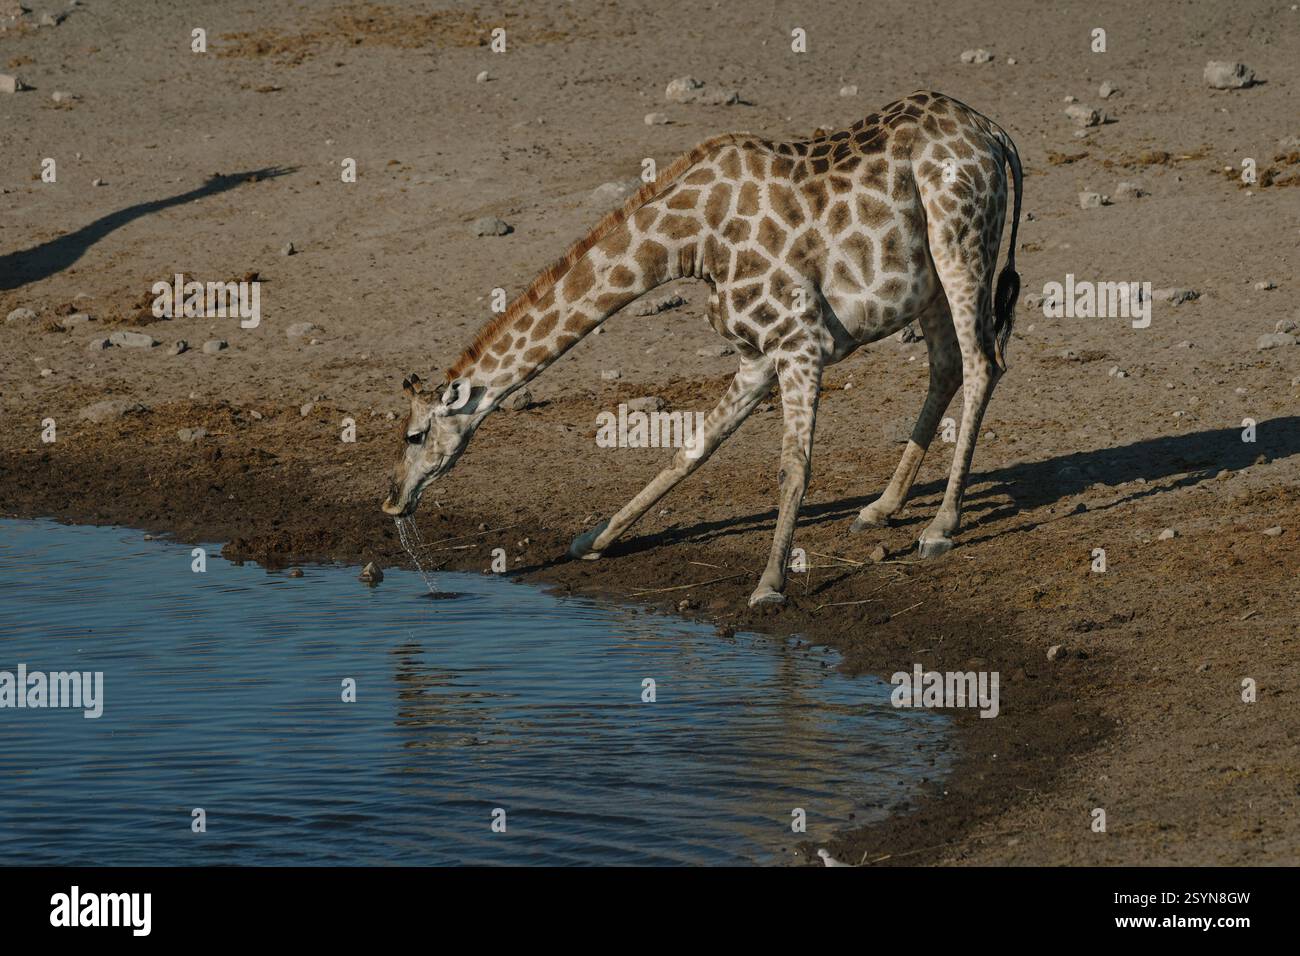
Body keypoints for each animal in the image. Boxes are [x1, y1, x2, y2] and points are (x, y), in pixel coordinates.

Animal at [382, 91, 1023, 607]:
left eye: (413, 436)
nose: (392, 501)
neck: (686, 244)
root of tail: (994, 132)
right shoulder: (757, 355)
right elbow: (691, 449)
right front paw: (593, 539)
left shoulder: (799, 340)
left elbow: (793, 466)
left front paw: (768, 585)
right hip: (929, 276)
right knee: (946, 367)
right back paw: (881, 508)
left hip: (960, 240)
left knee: (983, 362)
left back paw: (940, 527)